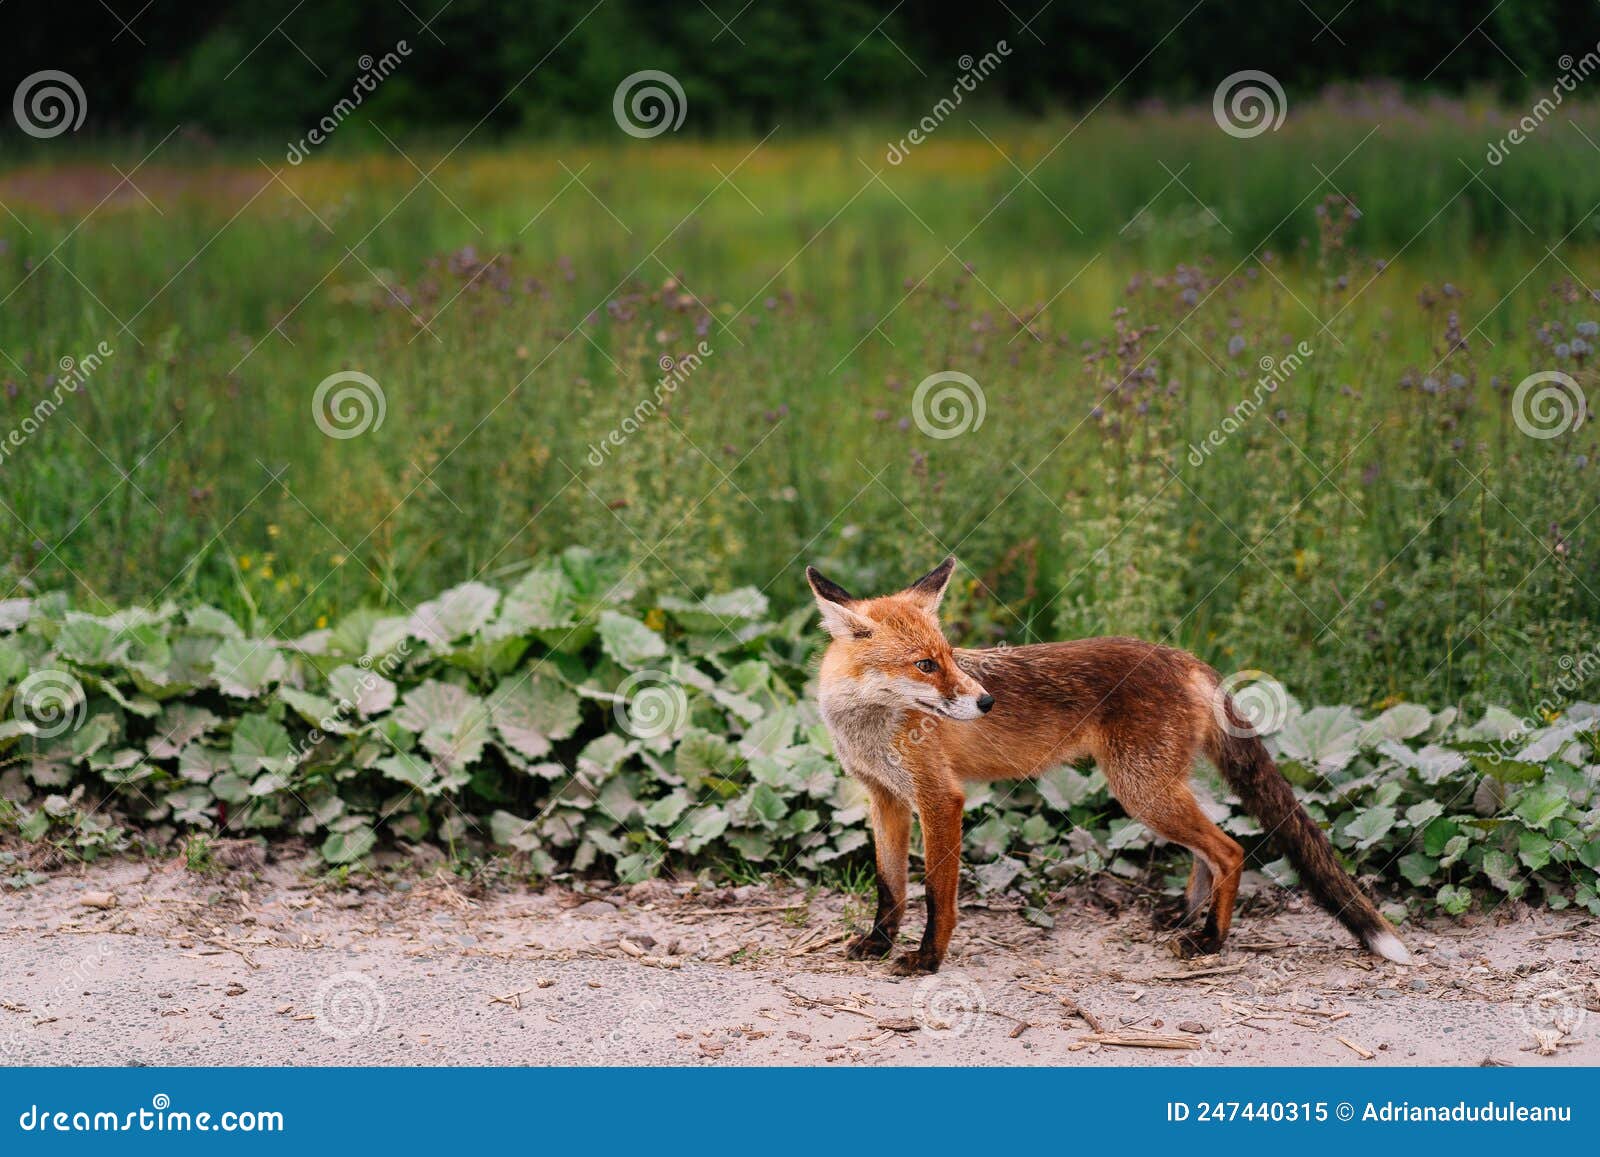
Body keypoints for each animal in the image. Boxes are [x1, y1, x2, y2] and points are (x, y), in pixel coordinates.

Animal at [806, 556, 1412, 976]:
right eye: (925, 665)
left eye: (950, 658)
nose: (985, 702)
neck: (869, 727)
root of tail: (1183, 657)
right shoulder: (885, 798)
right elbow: (890, 887)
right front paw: (877, 943)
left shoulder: (939, 798)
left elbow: (937, 894)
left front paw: (928, 960)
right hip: (1156, 788)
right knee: (1211, 844)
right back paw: (1185, 914)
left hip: (1141, 791)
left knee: (1231, 849)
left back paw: (1210, 940)